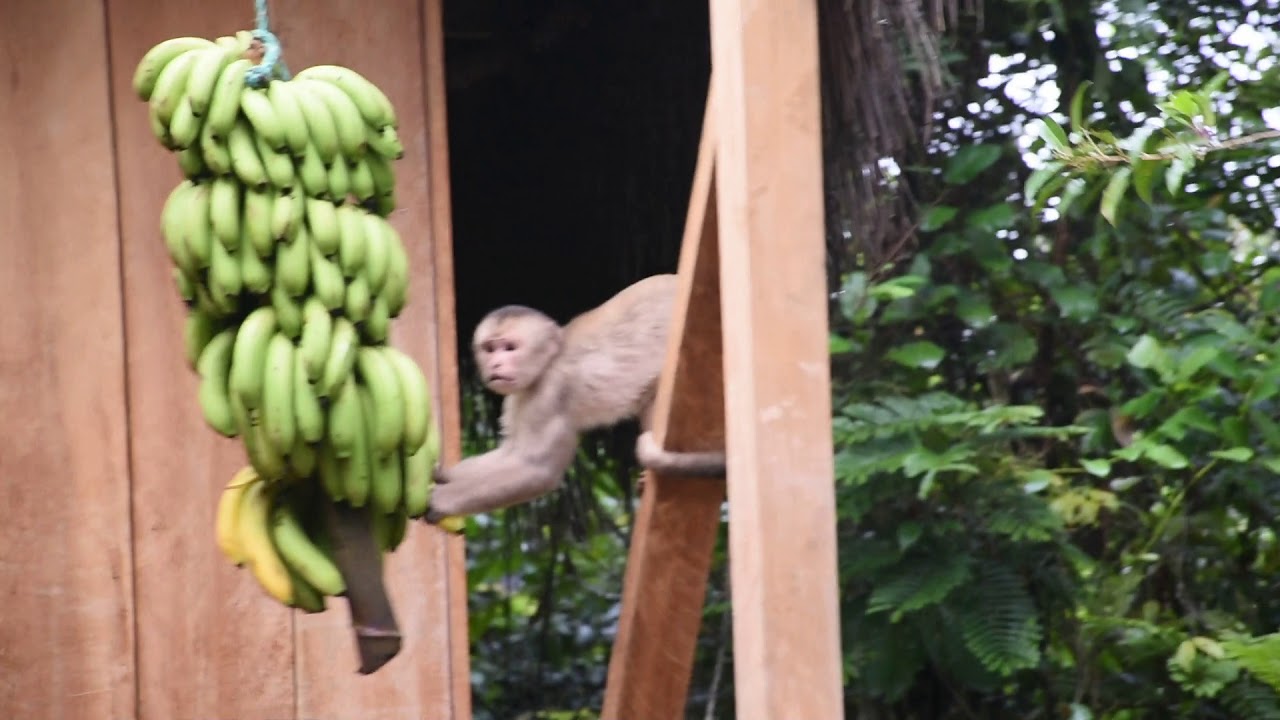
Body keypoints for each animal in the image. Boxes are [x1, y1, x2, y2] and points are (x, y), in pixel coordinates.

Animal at [424, 273, 726, 523]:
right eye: (490, 349)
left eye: (509, 348)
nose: (496, 365)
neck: (547, 362)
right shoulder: (518, 398)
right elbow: (510, 453)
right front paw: (441, 474)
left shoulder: (548, 394)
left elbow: (536, 471)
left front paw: (440, 502)